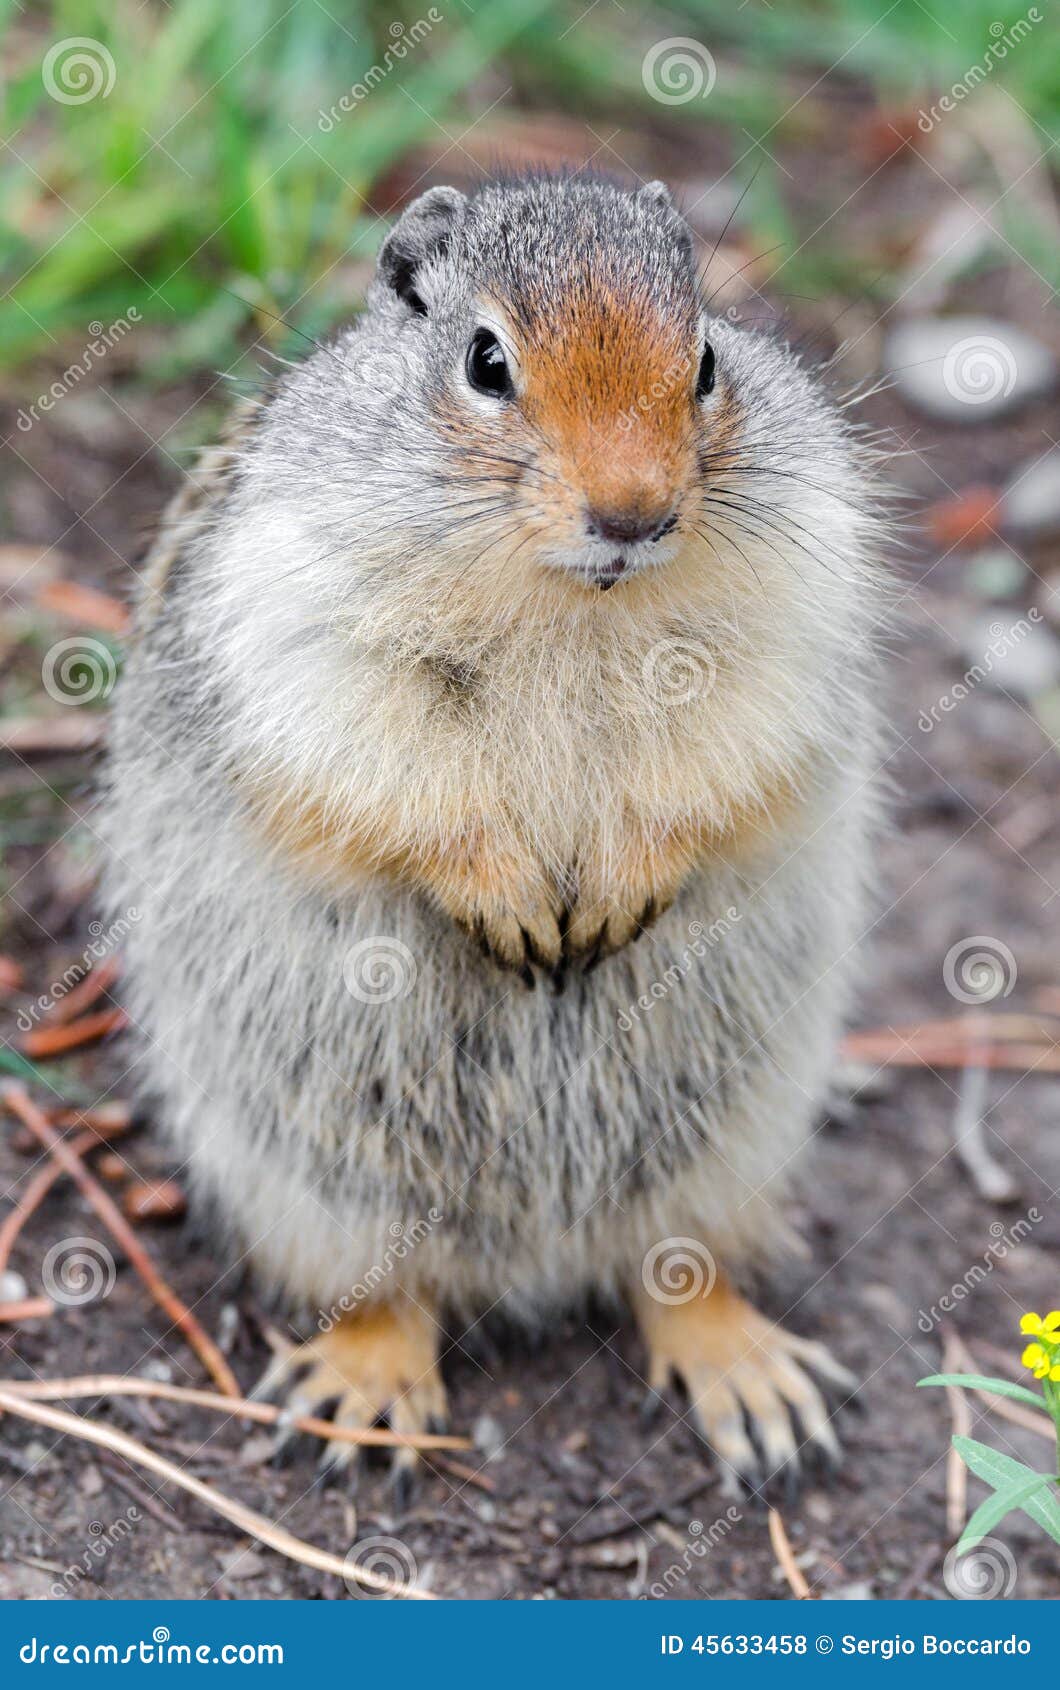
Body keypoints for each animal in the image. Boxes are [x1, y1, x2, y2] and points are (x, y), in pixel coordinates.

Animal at [105, 171, 885, 1493]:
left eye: (706, 361)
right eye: (485, 361)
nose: (634, 513)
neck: (573, 597)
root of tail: (535, 1260)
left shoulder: (780, 626)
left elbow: (714, 762)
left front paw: (619, 882)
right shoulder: (316, 640)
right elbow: (404, 780)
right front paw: (513, 901)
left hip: (727, 1142)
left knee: (677, 1269)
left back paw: (749, 1376)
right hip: (316, 1173)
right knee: (387, 1289)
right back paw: (364, 1395)